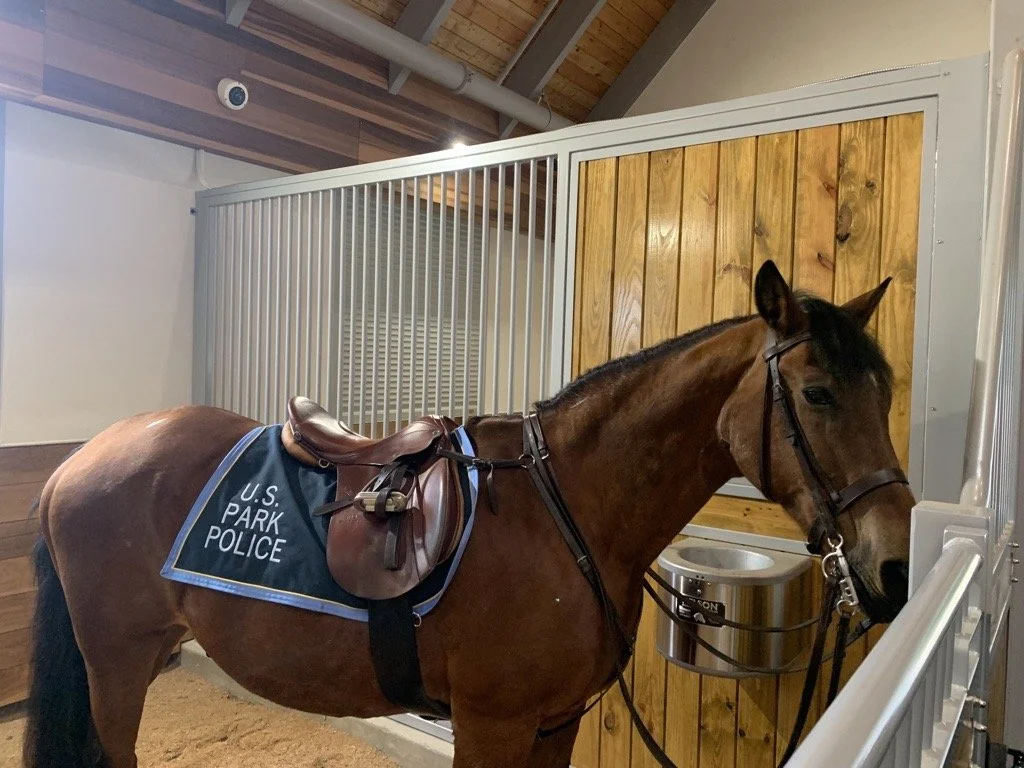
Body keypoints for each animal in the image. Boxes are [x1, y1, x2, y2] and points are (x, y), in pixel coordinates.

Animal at [20, 260, 914, 768]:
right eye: (817, 394)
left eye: (885, 392)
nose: (892, 568)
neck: (569, 510)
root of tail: (80, 459)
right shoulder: (492, 725)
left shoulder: (554, 726)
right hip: (115, 660)